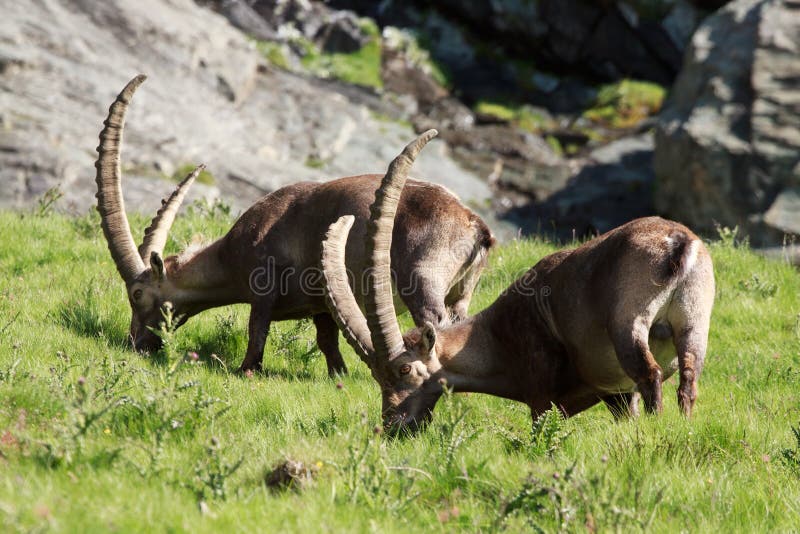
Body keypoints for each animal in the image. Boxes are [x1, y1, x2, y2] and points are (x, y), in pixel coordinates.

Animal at [94, 75, 494, 375]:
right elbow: (327, 342)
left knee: (435, 323)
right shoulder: (322, 305)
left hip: (423, 283)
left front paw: (246, 371)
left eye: (137, 294)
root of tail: (476, 226)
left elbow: (257, 331)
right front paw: (339, 377)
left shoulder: (263, 285)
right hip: (461, 293)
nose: (136, 343)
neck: (232, 253)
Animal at [321, 131, 716, 432]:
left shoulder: (542, 393)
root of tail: (680, 244)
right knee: (688, 380)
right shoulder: (615, 393)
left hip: (629, 324)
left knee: (651, 374)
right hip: (694, 321)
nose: (393, 425)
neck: (497, 339)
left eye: (404, 369)